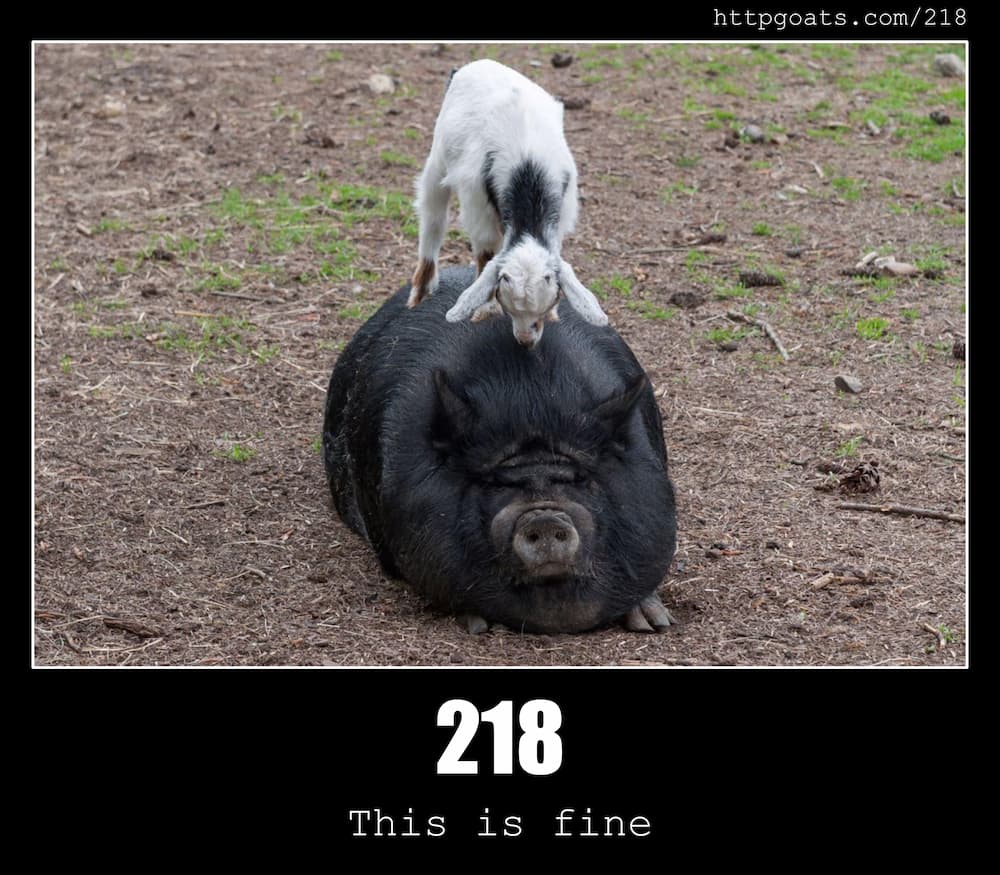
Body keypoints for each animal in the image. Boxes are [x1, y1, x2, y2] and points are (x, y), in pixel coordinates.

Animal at [407, 59, 608, 347]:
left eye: (549, 302)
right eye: (506, 302)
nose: (525, 340)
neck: (529, 171)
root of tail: (476, 64)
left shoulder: (562, 211)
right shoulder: (478, 207)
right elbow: (485, 253)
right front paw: (486, 310)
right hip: (438, 159)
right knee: (433, 217)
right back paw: (420, 292)